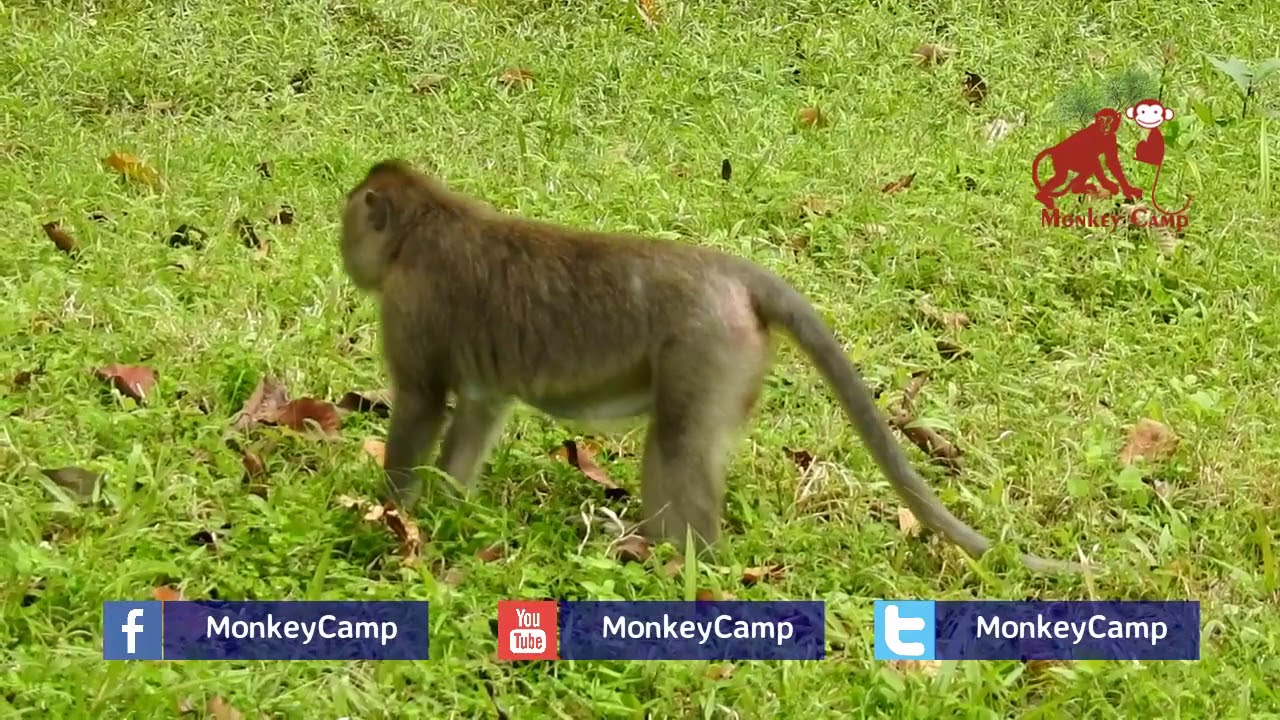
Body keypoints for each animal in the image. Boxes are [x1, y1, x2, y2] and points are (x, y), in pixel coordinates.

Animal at [339, 159, 1089, 575]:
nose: (346, 254)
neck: (423, 224)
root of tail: (734, 274)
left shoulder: (410, 306)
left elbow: (420, 403)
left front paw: (390, 516)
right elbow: (480, 408)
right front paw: (447, 509)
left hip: (707, 348)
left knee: (677, 444)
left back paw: (677, 561)